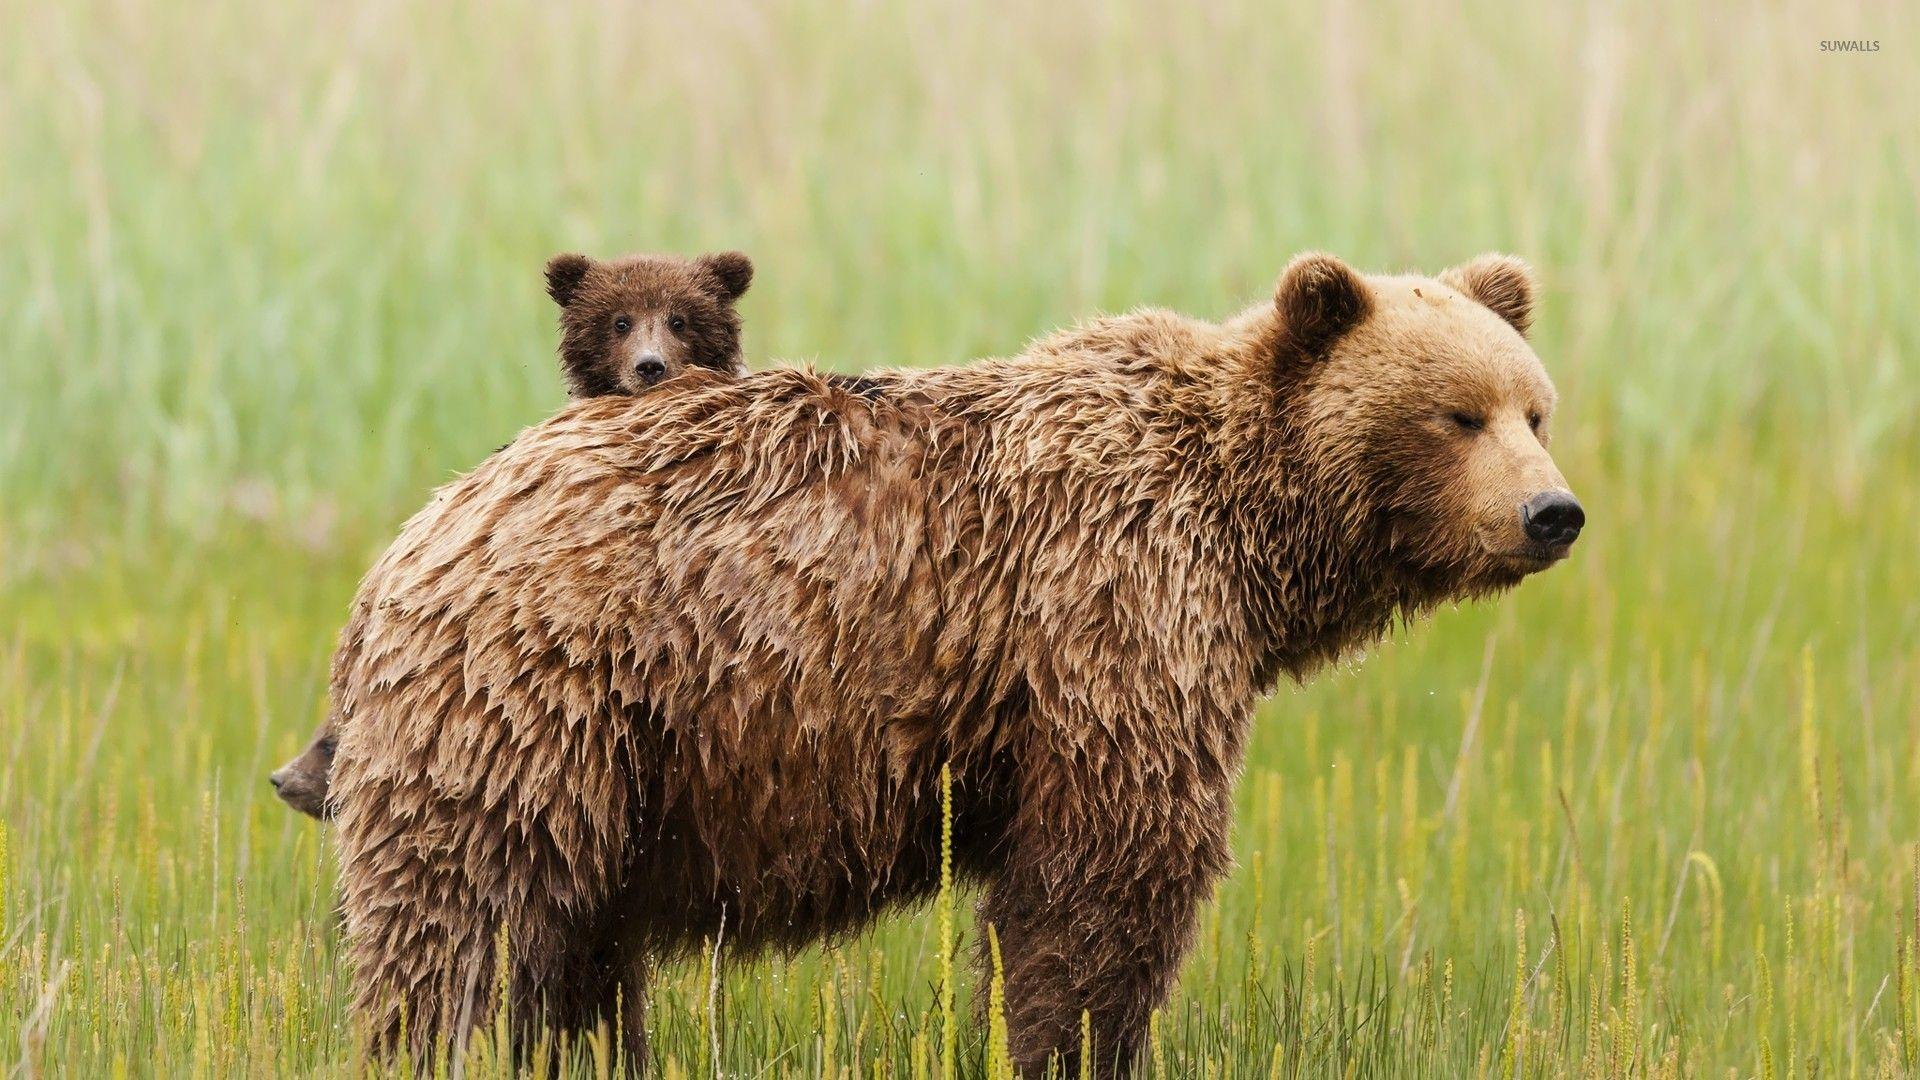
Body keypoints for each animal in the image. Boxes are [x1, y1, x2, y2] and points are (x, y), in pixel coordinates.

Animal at [328, 251, 1581, 1076]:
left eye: (1536, 409)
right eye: (1456, 415)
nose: (1551, 514)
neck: (1242, 536)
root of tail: (415, 534)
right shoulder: (1108, 607)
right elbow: (1108, 875)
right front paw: (1066, 1042)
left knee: (572, 946)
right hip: (543, 694)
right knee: (463, 914)